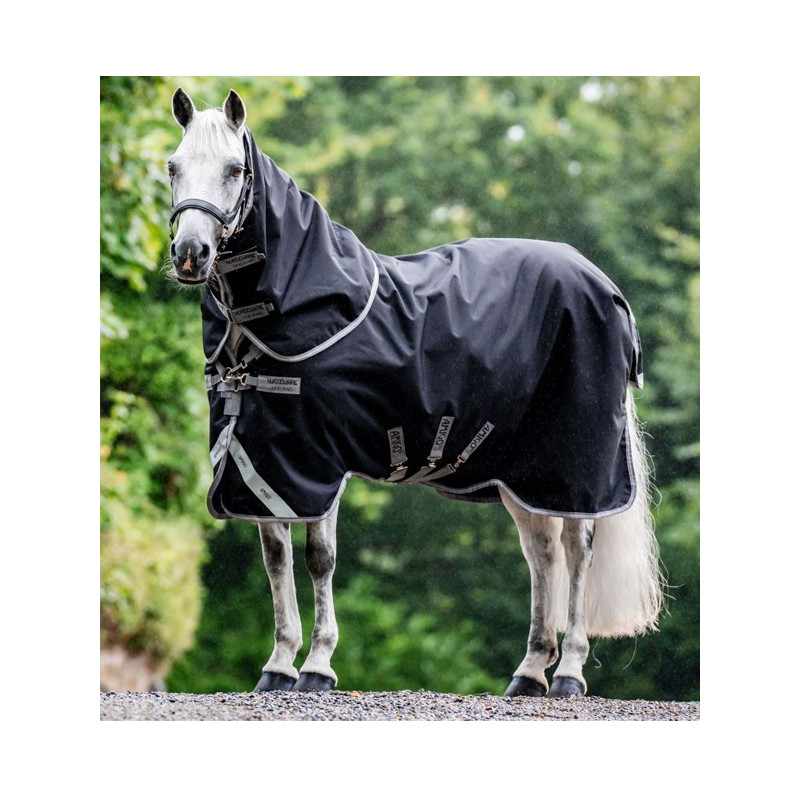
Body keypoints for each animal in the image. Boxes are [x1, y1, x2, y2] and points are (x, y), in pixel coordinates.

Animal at [165, 87, 663, 698]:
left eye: (235, 169)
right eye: (173, 167)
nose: (190, 254)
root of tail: (604, 285)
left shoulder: (318, 460)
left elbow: (319, 557)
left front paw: (317, 666)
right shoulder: (265, 461)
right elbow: (276, 559)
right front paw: (278, 665)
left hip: (576, 463)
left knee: (577, 548)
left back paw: (568, 672)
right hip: (526, 472)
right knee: (542, 552)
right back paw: (528, 673)